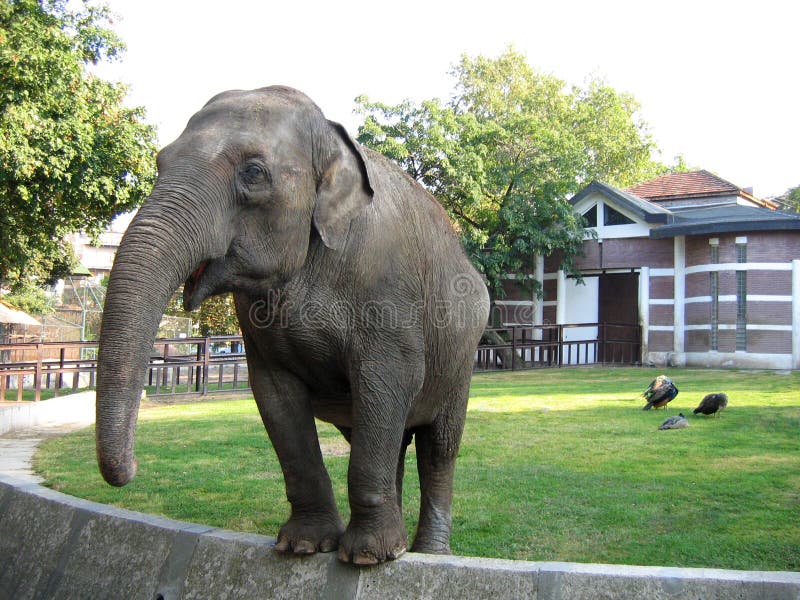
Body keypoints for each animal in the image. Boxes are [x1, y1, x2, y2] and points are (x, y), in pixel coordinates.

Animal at [95, 86, 490, 565]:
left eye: (254, 173)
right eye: (159, 162)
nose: (132, 469)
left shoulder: (388, 291)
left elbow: (387, 379)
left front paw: (365, 557)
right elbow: (276, 398)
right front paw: (304, 546)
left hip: (460, 359)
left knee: (439, 447)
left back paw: (427, 552)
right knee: (392, 440)